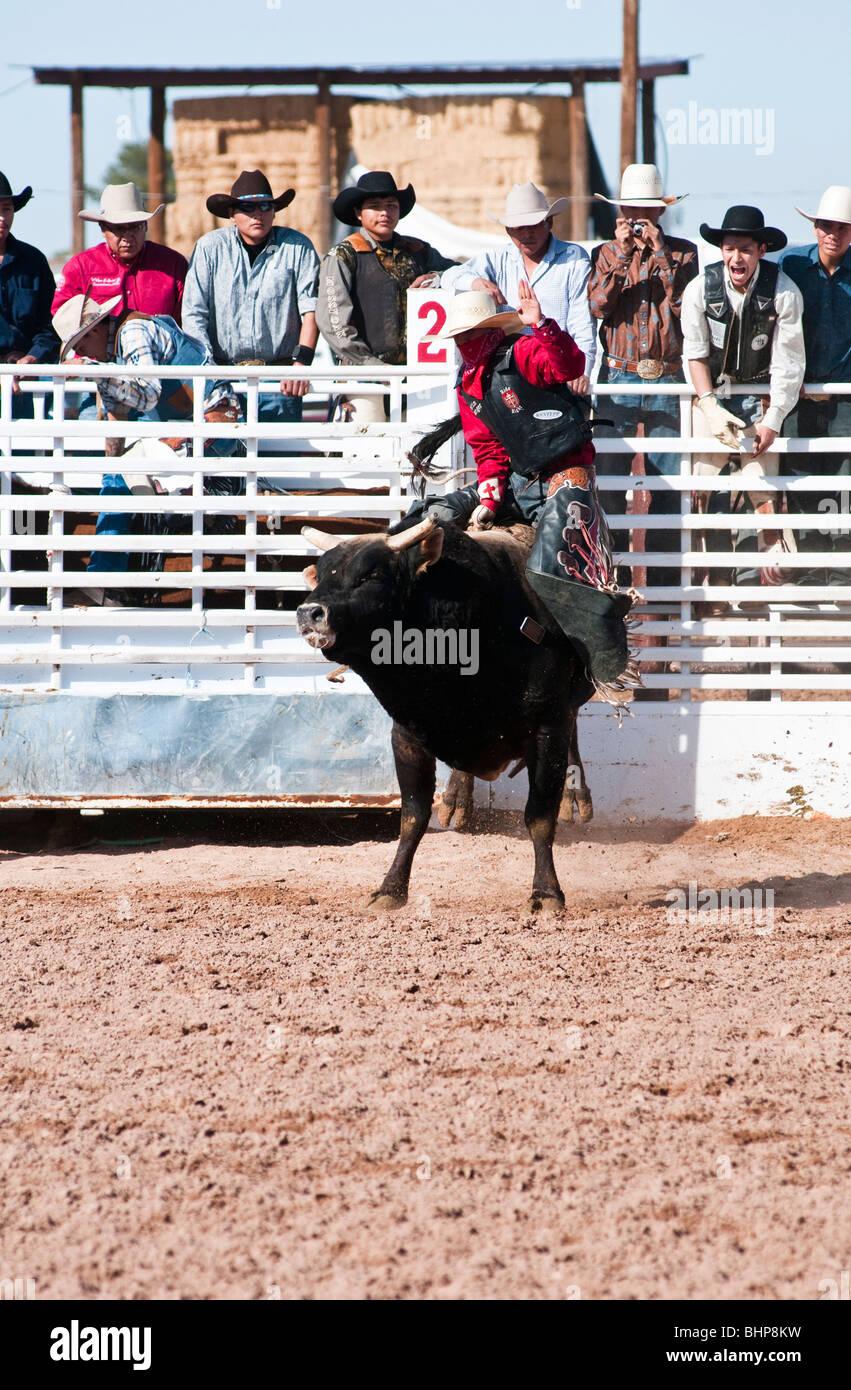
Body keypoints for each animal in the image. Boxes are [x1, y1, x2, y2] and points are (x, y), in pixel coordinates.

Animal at [296, 514, 597, 914]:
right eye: (322, 576)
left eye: (371, 574)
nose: (308, 613)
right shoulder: (406, 736)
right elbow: (412, 817)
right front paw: (390, 889)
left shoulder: (547, 727)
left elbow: (539, 817)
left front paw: (546, 893)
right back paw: (457, 800)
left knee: (573, 730)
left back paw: (574, 796)